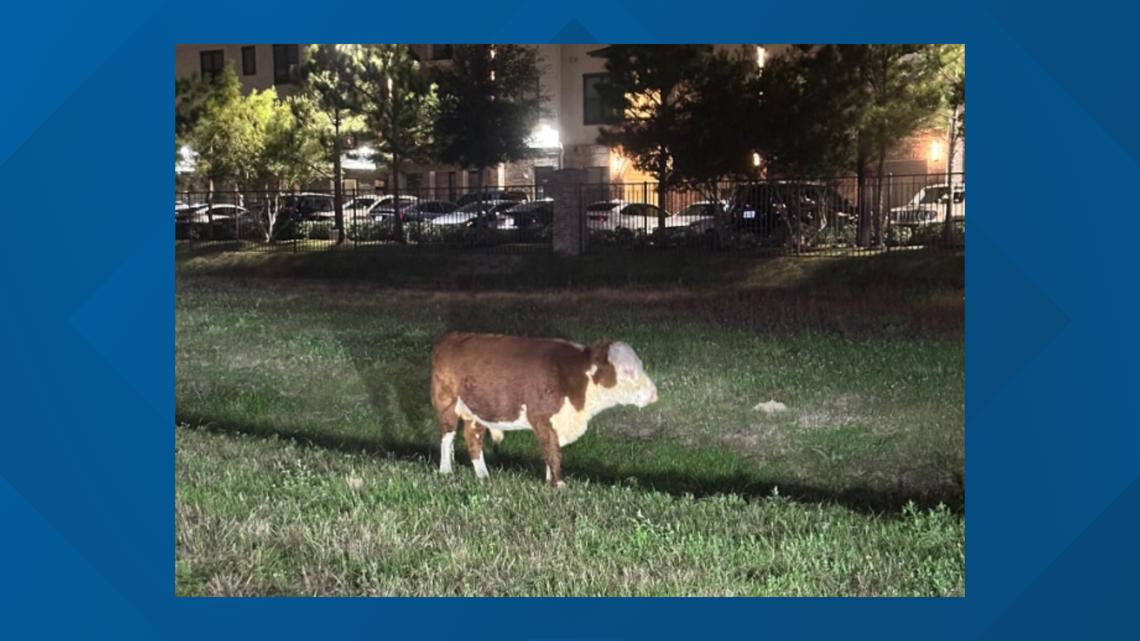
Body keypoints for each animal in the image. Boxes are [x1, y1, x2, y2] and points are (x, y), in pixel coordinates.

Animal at [430, 331, 658, 487]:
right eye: (628, 371)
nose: (654, 394)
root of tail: (451, 337)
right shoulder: (541, 418)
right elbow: (553, 451)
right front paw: (559, 485)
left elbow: (551, 451)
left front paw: (550, 482)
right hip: (447, 402)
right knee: (447, 436)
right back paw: (446, 471)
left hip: (476, 410)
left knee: (472, 438)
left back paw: (483, 476)